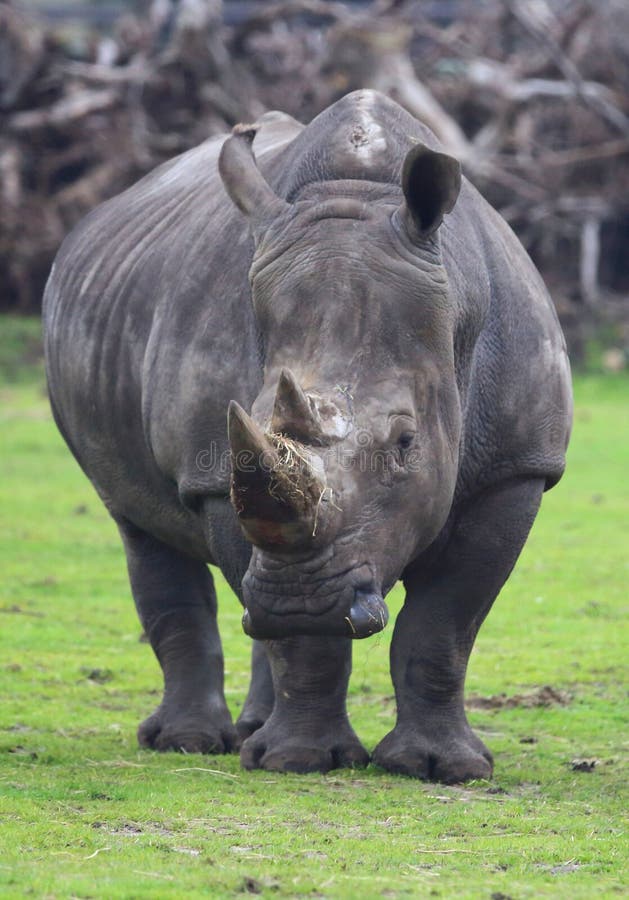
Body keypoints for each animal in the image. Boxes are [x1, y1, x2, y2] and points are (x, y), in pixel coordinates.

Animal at [43, 90, 572, 782]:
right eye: (241, 421)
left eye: (406, 443)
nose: (299, 601)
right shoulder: (214, 478)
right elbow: (300, 636)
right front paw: (297, 760)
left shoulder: (518, 465)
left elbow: (446, 623)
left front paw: (441, 768)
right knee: (141, 527)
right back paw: (191, 742)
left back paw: (245, 729)